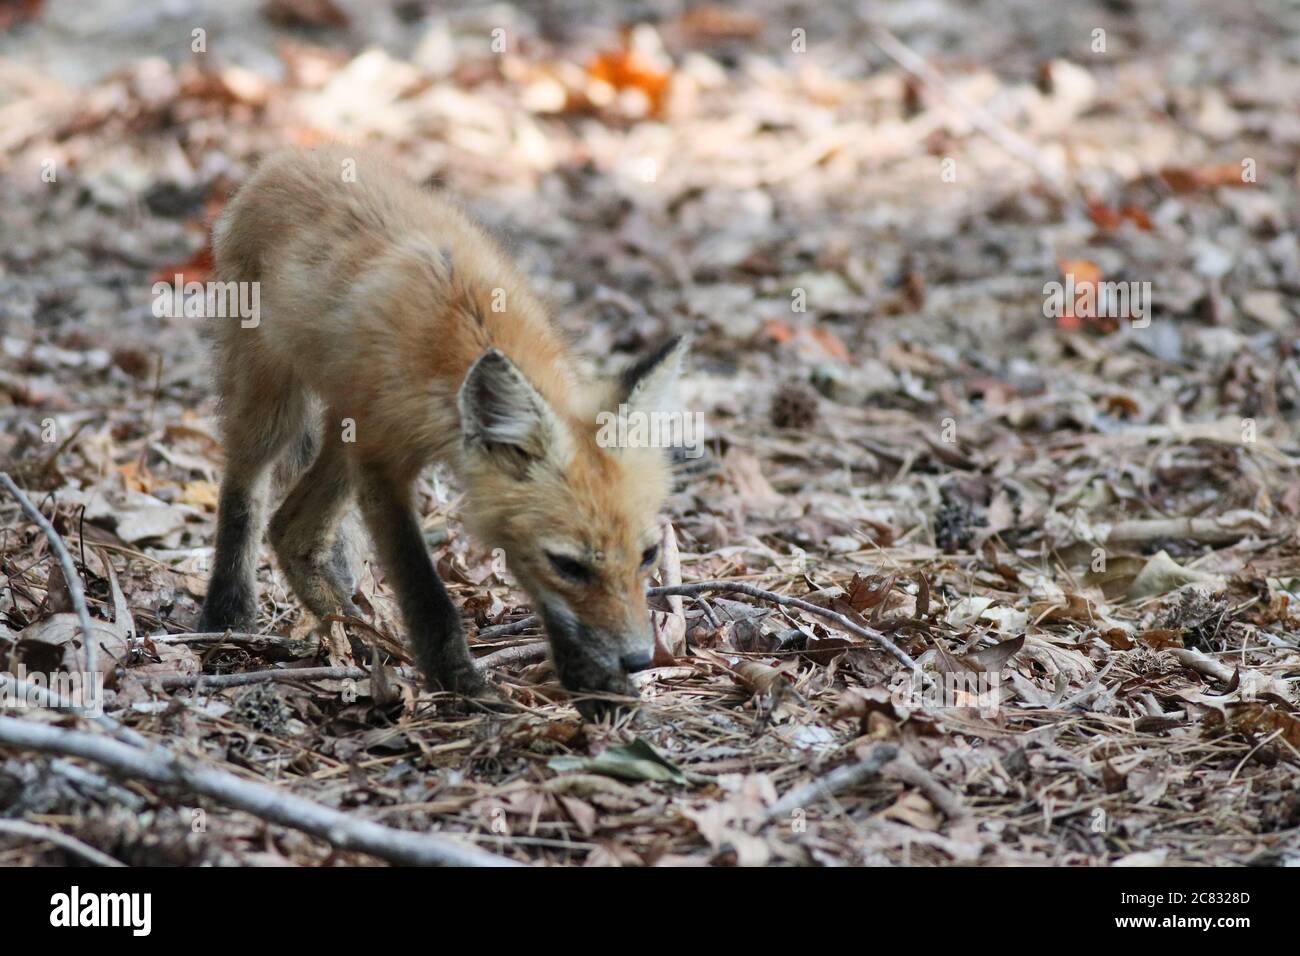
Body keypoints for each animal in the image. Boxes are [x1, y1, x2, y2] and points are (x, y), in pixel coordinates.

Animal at [198, 145, 688, 717]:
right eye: (570, 565)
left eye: (648, 556)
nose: (638, 658)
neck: (462, 334)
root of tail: (286, 157)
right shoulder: (382, 460)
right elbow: (425, 592)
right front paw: (461, 683)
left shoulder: (376, 443)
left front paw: (596, 684)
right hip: (275, 401)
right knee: (248, 490)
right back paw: (231, 613)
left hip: (343, 426)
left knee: (293, 531)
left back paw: (355, 630)